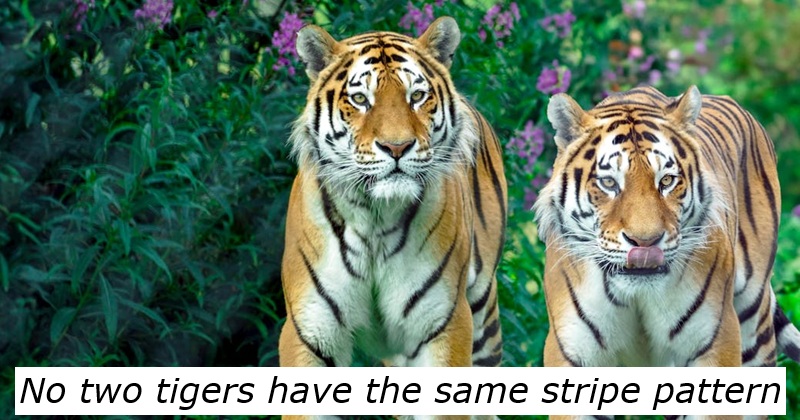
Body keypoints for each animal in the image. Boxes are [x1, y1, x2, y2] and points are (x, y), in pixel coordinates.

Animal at [278, 15, 506, 383]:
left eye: (417, 96)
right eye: (359, 98)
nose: (397, 147)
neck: (374, 217)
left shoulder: (443, 324)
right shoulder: (311, 331)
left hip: (483, 318)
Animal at [533, 85, 800, 418]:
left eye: (667, 181)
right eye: (608, 182)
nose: (645, 242)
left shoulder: (714, 344)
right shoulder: (574, 354)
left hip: (753, 318)